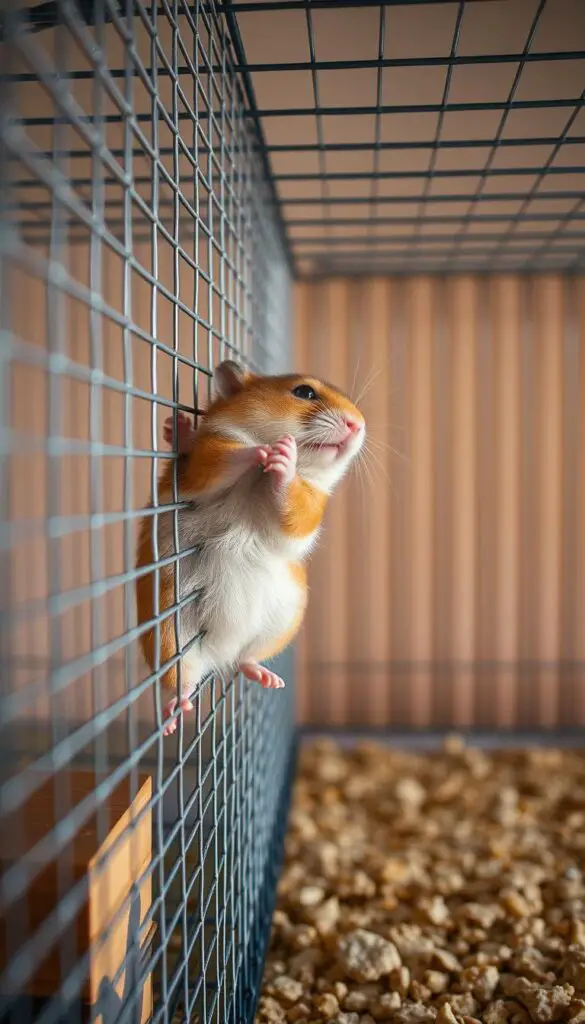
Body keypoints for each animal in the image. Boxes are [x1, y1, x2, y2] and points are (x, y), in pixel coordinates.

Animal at [135, 360, 365, 735]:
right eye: (304, 392)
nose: (358, 424)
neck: (259, 480)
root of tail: (221, 651)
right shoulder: (206, 459)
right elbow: (230, 456)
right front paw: (272, 449)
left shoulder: (310, 505)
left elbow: (291, 504)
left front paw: (283, 458)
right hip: (171, 635)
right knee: (183, 680)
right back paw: (173, 718)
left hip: (283, 620)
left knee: (245, 658)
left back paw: (266, 677)